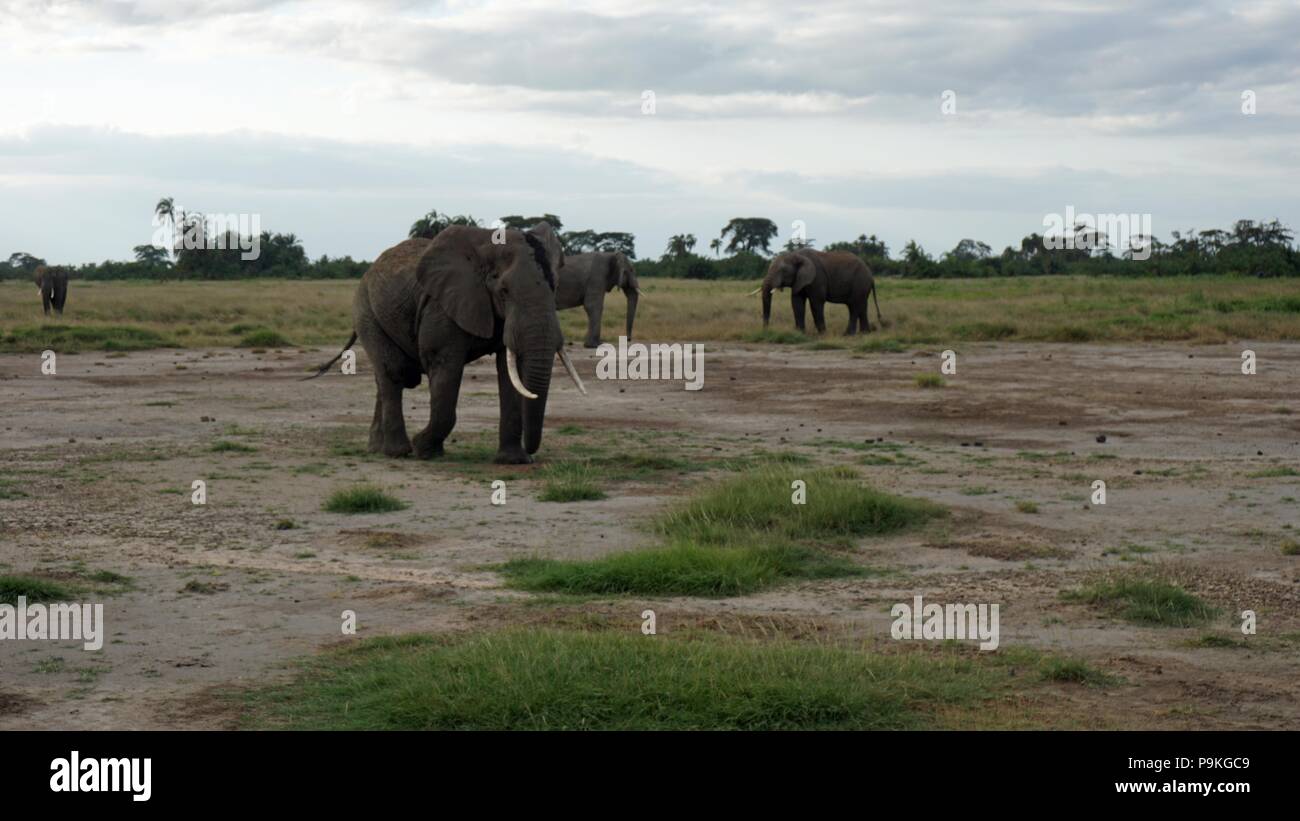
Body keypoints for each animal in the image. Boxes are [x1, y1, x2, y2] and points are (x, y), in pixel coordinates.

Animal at [308, 221, 586, 464]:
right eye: (504, 291)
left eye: (555, 287)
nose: (531, 452)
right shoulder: (441, 307)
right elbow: (444, 366)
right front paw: (423, 449)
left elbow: (510, 372)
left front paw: (514, 461)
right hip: (367, 312)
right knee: (393, 372)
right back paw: (398, 452)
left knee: (385, 378)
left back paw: (377, 448)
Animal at [753, 250, 882, 335]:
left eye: (783, 271)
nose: (766, 330)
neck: (797, 255)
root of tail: (871, 275)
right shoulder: (799, 280)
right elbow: (796, 302)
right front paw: (800, 333)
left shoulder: (817, 278)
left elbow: (816, 303)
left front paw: (822, 334)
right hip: (862, 286)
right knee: (861, 306)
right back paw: (865, 333)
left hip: (859, 283)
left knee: (854, 307)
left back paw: (848, 334)